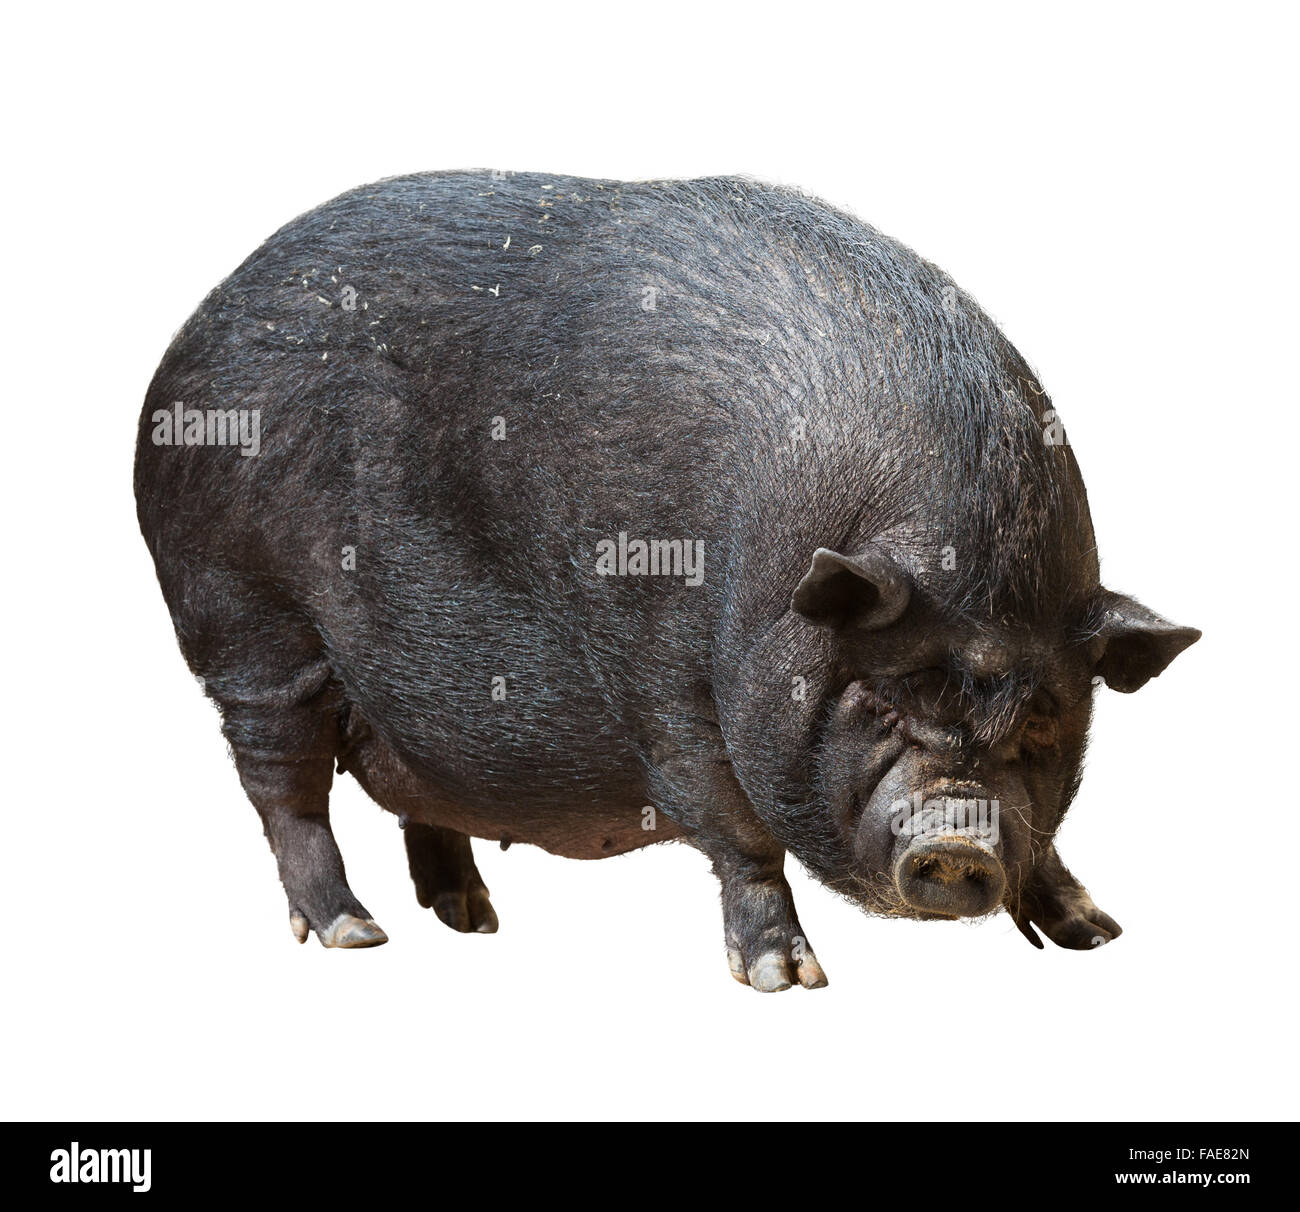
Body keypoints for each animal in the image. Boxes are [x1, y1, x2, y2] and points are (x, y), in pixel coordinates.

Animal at [135, 171, 1199, 990]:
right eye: (879, 699)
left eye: (1043, 720)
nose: (960, 837)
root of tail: (181, 348)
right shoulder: (663, 683)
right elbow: (739, 831)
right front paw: (788, 981)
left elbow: (1047, 835)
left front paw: (1098, 933)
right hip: (248, 628)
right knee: (285, 790)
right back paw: (357, 935)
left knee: (414, 794)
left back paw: (473, 918)